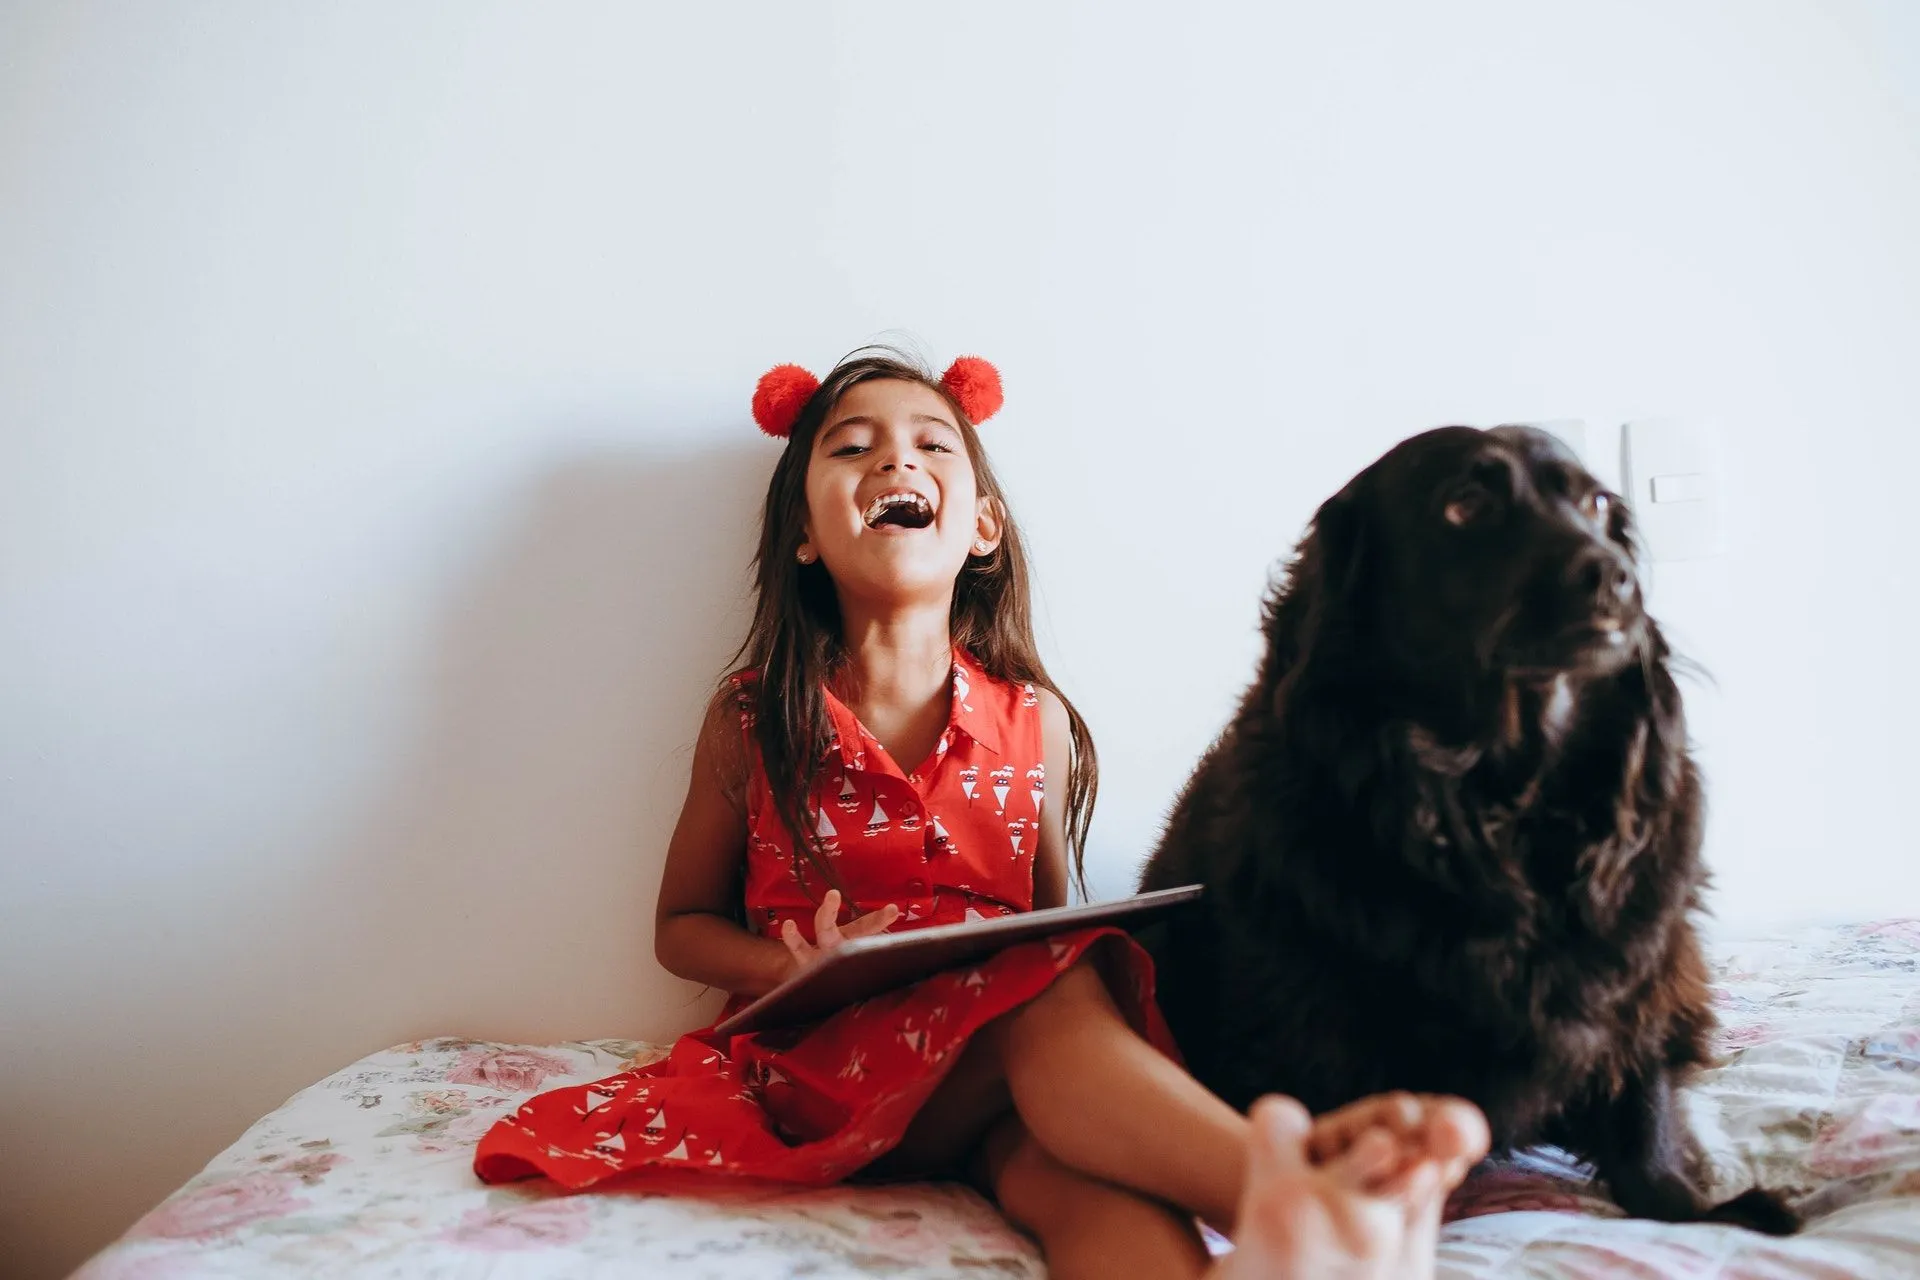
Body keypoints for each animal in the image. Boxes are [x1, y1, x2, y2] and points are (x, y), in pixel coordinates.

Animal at [1136, 427, 1797, 1228]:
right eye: (1466, 505)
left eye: (1596, 504)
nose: (1615, 579)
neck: (1503, 803)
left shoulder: (1641, 971)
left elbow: (1645, 1110)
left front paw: (1690, 1205)